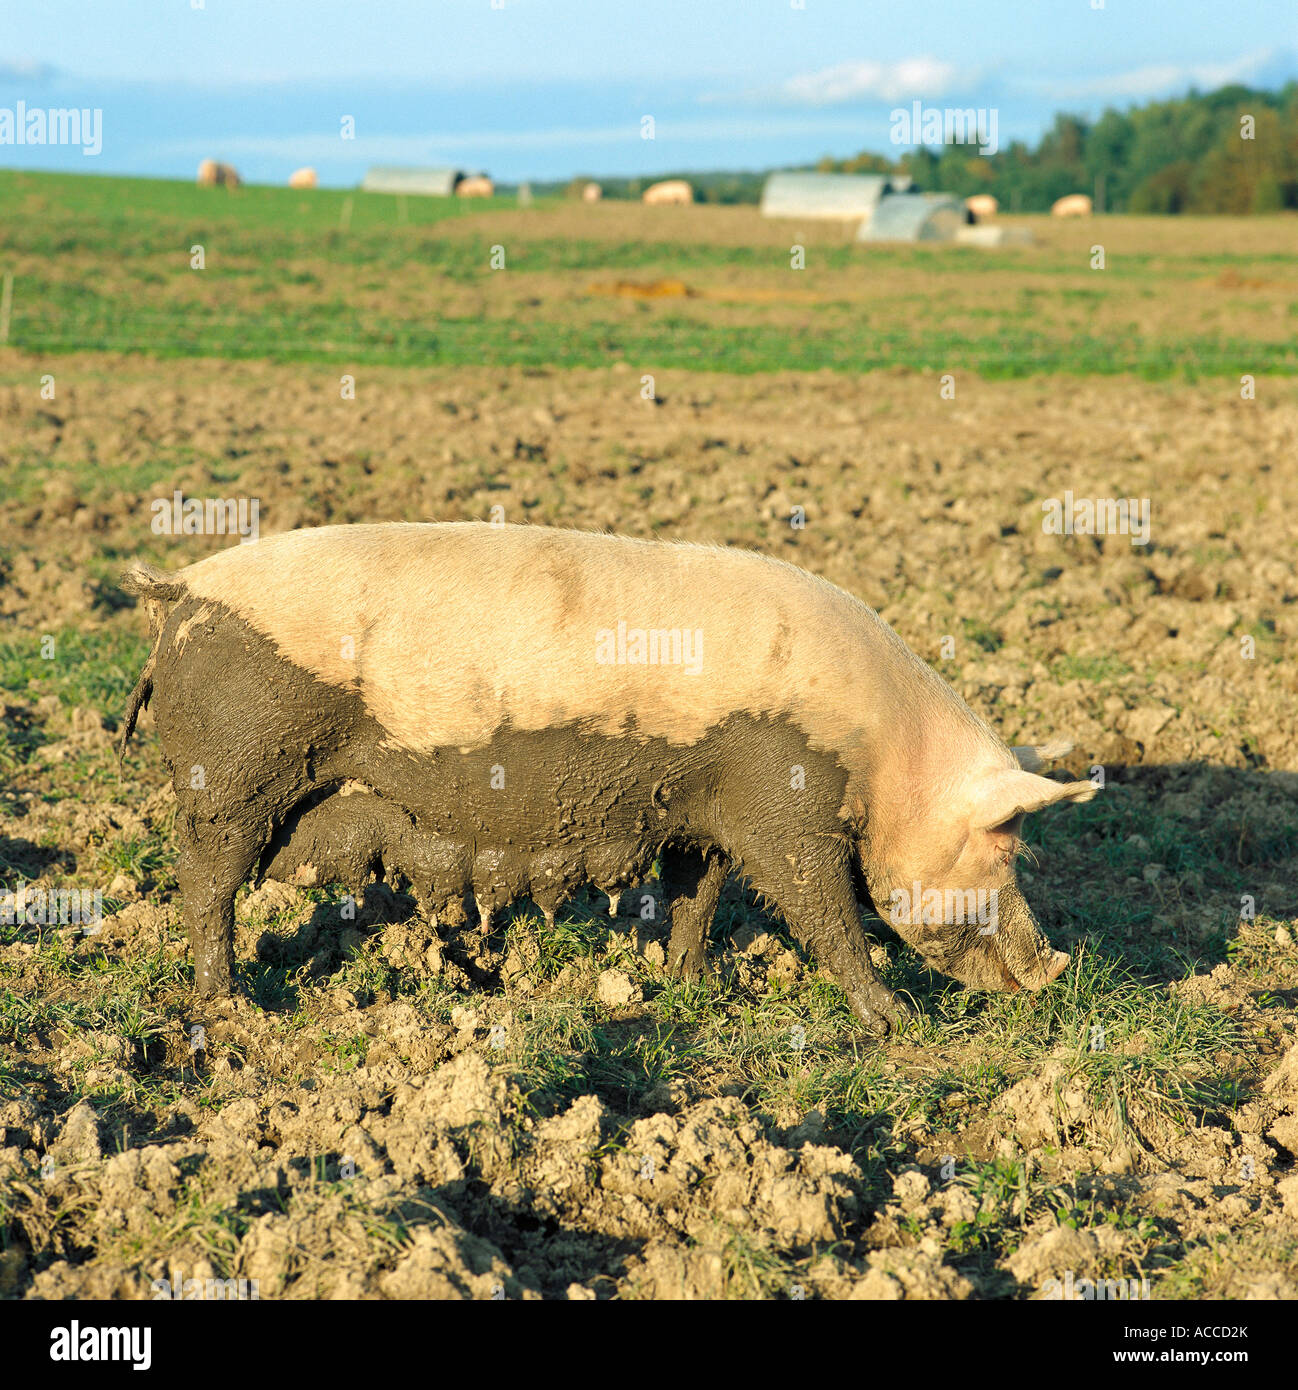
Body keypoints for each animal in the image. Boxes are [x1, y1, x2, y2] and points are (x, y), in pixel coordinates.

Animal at [118, 523, 1097, 1034]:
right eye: (1004, 846)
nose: (1054, 970)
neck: (880, 754)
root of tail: (179, 590)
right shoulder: (785, 805)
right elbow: (823, 912)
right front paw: (896, 1024)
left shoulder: (706, 810)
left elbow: (698, 894)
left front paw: (690, 987)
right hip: (237, 772)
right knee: (207, 881)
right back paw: (230, 1004)